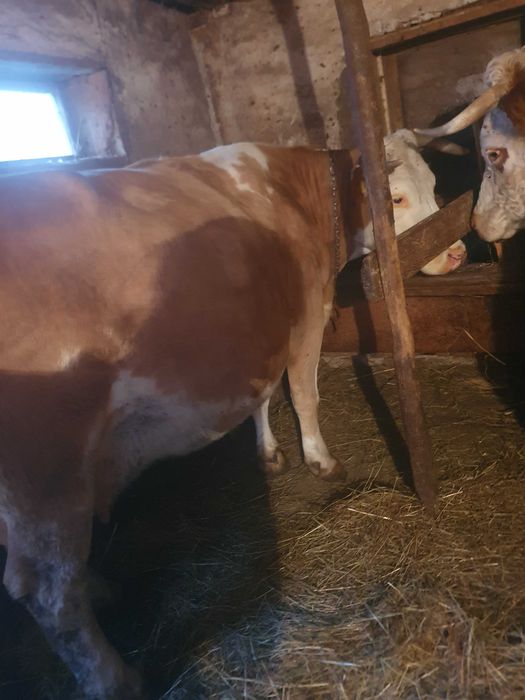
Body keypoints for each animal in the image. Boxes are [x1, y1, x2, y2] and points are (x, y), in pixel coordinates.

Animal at [0, 131, 463, 699]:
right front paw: (320, 460)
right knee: (50, 597)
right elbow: (303, 392)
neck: (297, 195)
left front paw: (268, 454)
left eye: (435, 183)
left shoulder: (260, 331)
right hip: (48, 477)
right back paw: (117, 678)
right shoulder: (306, 314)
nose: (457, 252)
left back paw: (102, 588)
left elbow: (261, 397)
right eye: (394, 197)